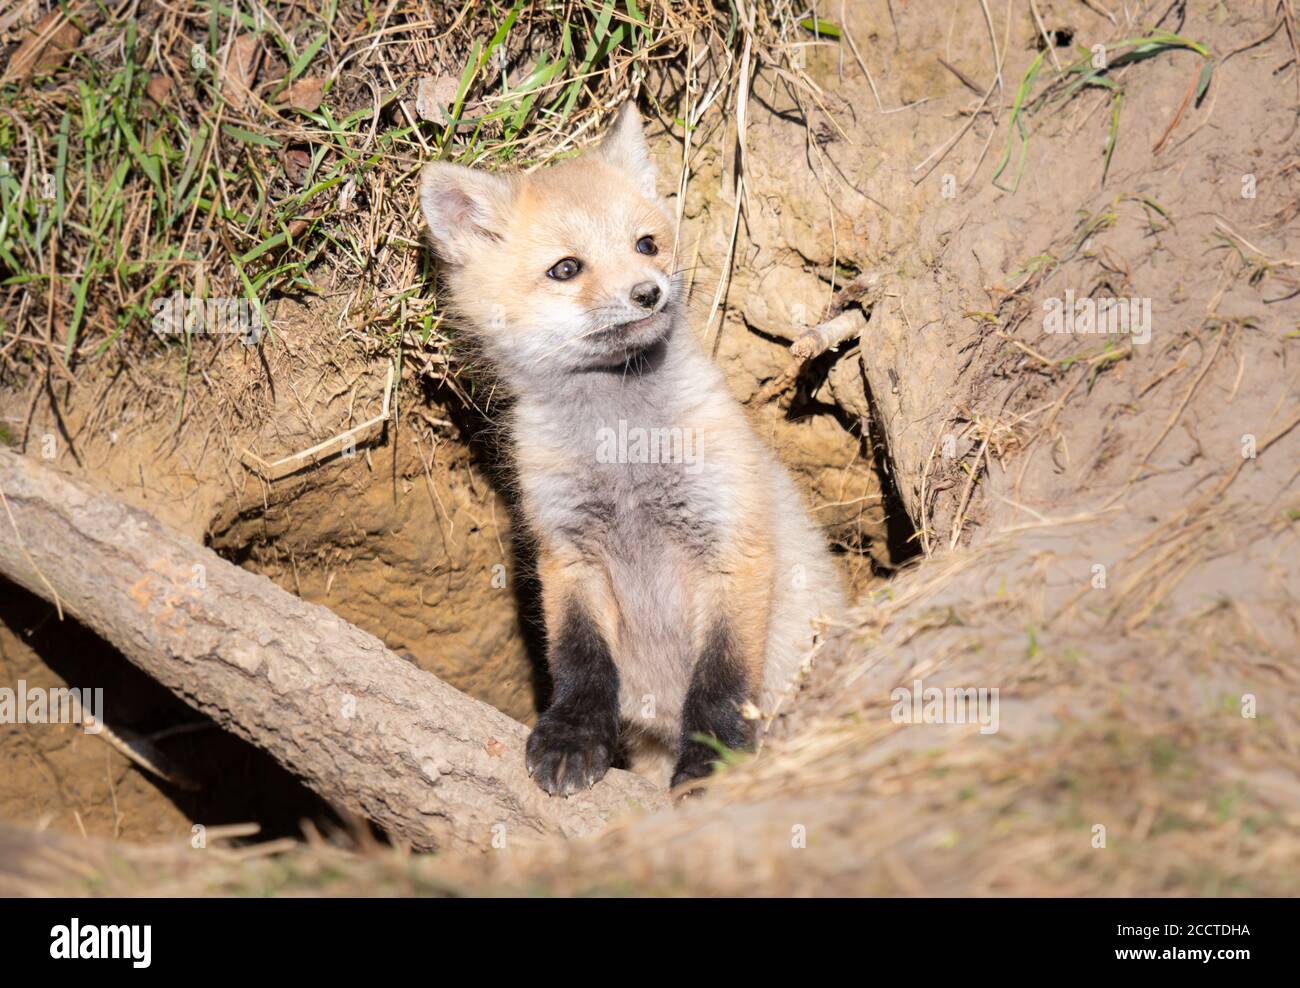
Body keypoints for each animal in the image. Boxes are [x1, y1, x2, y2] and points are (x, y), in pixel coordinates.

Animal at [418, 103, 845, 794]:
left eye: (645, 244)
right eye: (566, 268)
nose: (649, 292)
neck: (624, 453)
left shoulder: (732, 542)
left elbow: (722, 682)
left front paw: (711, 762)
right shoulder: (569, 554)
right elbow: (580, 661)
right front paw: (570, 736)